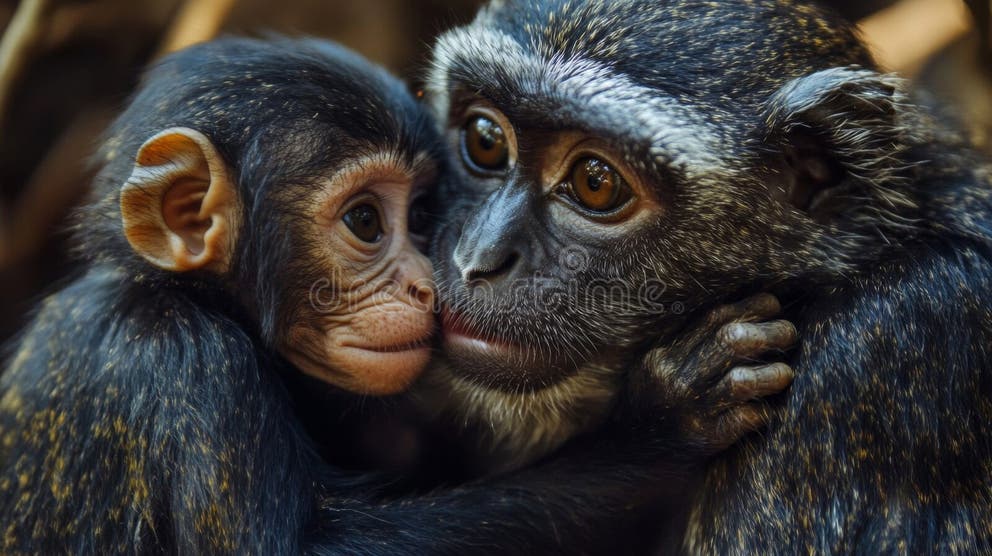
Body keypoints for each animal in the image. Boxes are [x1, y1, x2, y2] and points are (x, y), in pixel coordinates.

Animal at [0, 36, 796, 554]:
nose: (425, 281)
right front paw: (655, 425)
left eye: (420, 217)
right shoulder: (191, 369)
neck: (178, 292)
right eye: (364, 221)